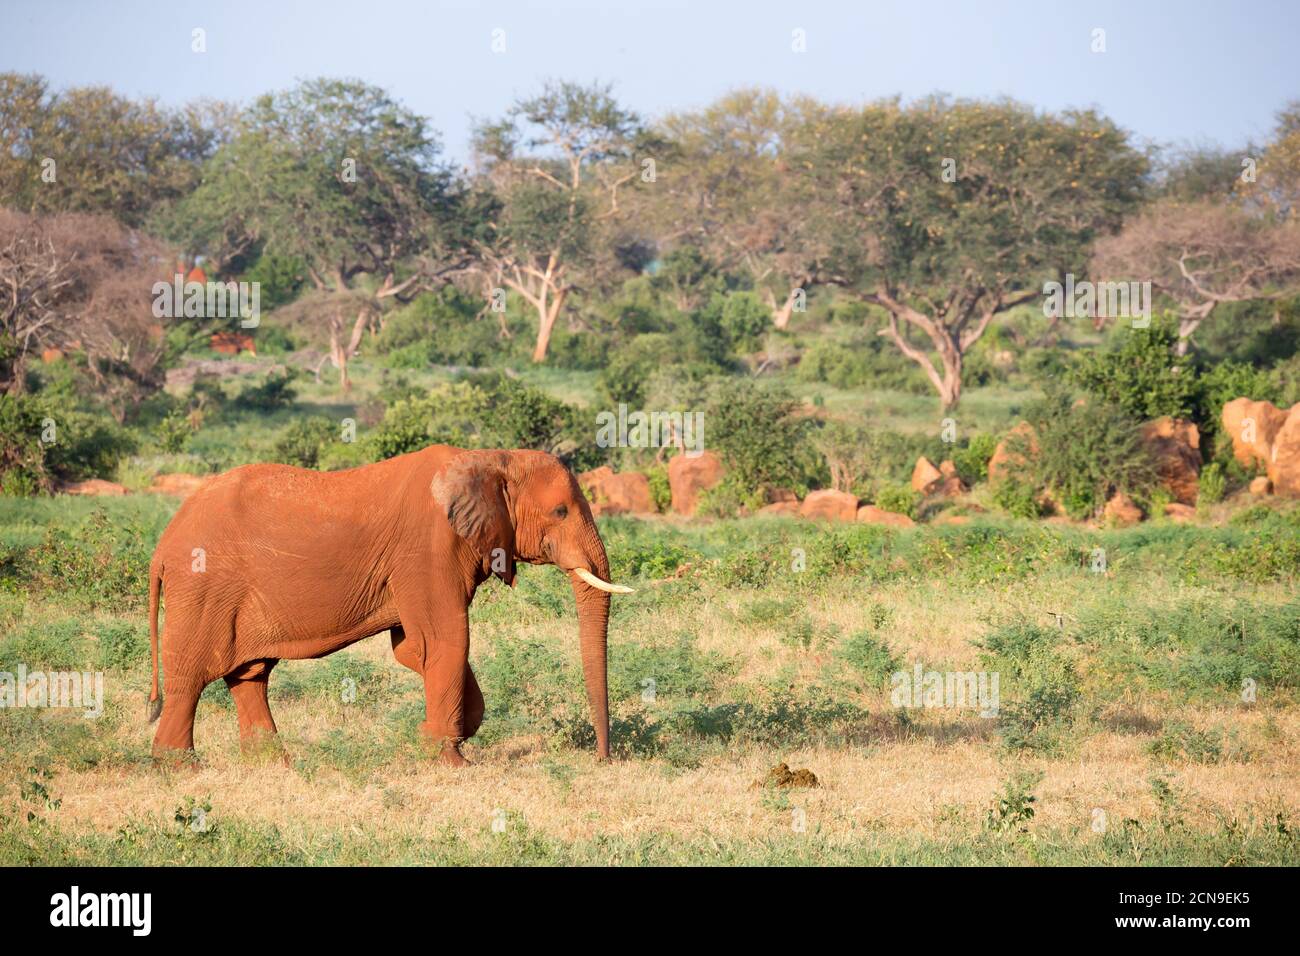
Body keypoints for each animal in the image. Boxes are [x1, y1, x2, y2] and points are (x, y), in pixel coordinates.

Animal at [146, 446, 632, 765]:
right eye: (561, 512)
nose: (601, 760)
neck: (492, 458)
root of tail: (163, 545)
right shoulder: (429, 549)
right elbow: (446, 640)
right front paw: (449, 762)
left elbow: (413, 649)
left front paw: (436, 736)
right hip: (204, 586)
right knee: (191, 674)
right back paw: (179, 766)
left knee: (249, 675)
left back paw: (271, 764)